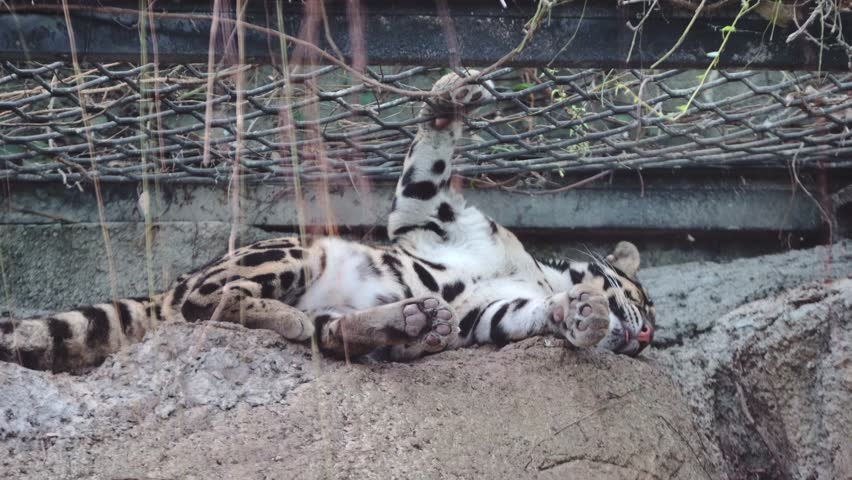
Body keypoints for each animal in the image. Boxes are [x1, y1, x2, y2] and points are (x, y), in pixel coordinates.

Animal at [0, 71, 655, 374]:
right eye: (647, 303)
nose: (646, 338)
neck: (542, 273)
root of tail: (164, 287)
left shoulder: (490, 311)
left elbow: (527, 315)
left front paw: (580, 318)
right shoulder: (430, 218)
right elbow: (429, 159)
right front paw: (449, 97)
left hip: (331, 302)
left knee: (328, 333)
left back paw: (409, 323)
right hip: (294, 253)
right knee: (204, 305)